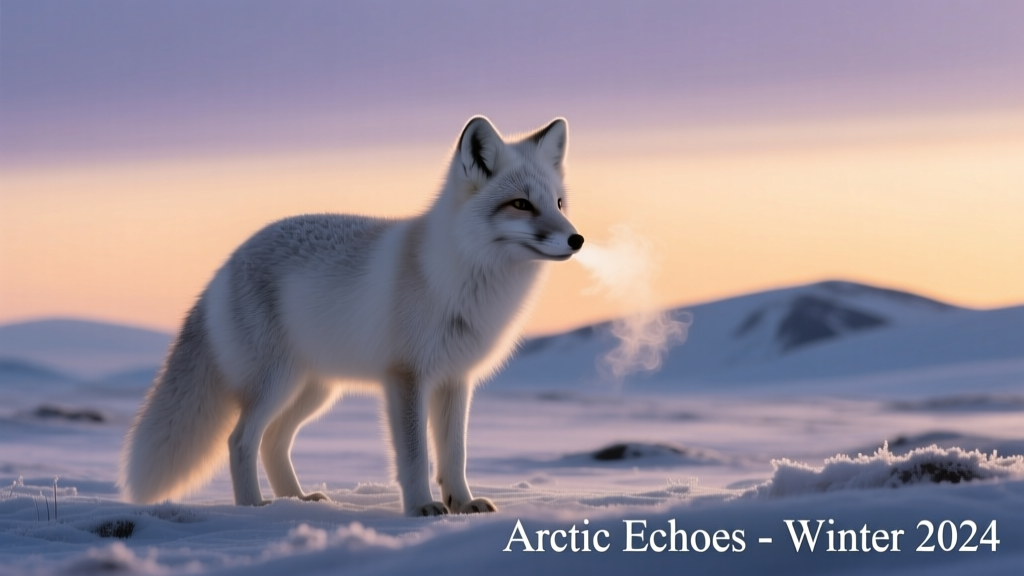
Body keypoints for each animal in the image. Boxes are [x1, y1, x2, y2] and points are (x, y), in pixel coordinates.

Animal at [119, 116, 583, 516]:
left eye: (559, 203)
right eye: (521, 204)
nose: (577, 239)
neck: (462, 277)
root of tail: (227, 263)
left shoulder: (455, 379)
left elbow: (455, 454)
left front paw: (463, 503)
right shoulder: (406, 376)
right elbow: (415, 455)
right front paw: (421, 507)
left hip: (314, 389)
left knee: (273, 442)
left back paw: (296, 500)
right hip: (277, 383)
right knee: (241, 441)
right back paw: (254, 508)